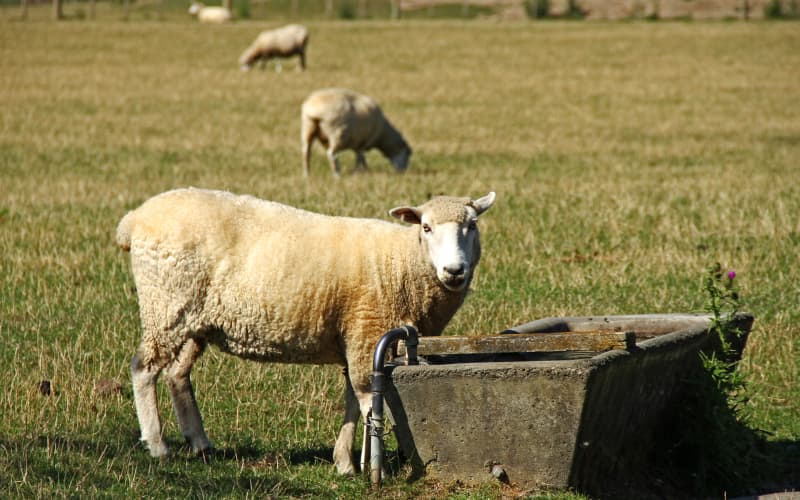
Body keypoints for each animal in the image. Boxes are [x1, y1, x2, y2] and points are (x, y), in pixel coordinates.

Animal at [116, 187, 495, 474]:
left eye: (473, 225)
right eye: (426, 228)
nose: (454, 270)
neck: (402, 264)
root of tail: (134, 219)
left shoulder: (355, 337)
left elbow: (352, 401)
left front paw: (344, 462)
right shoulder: (366, 331)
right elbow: (368, 402)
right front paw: (374, 469)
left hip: (195, 321)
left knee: (177, 375)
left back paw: (199, 443)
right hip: (165, 305)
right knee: (144, 369)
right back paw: (157, 444)